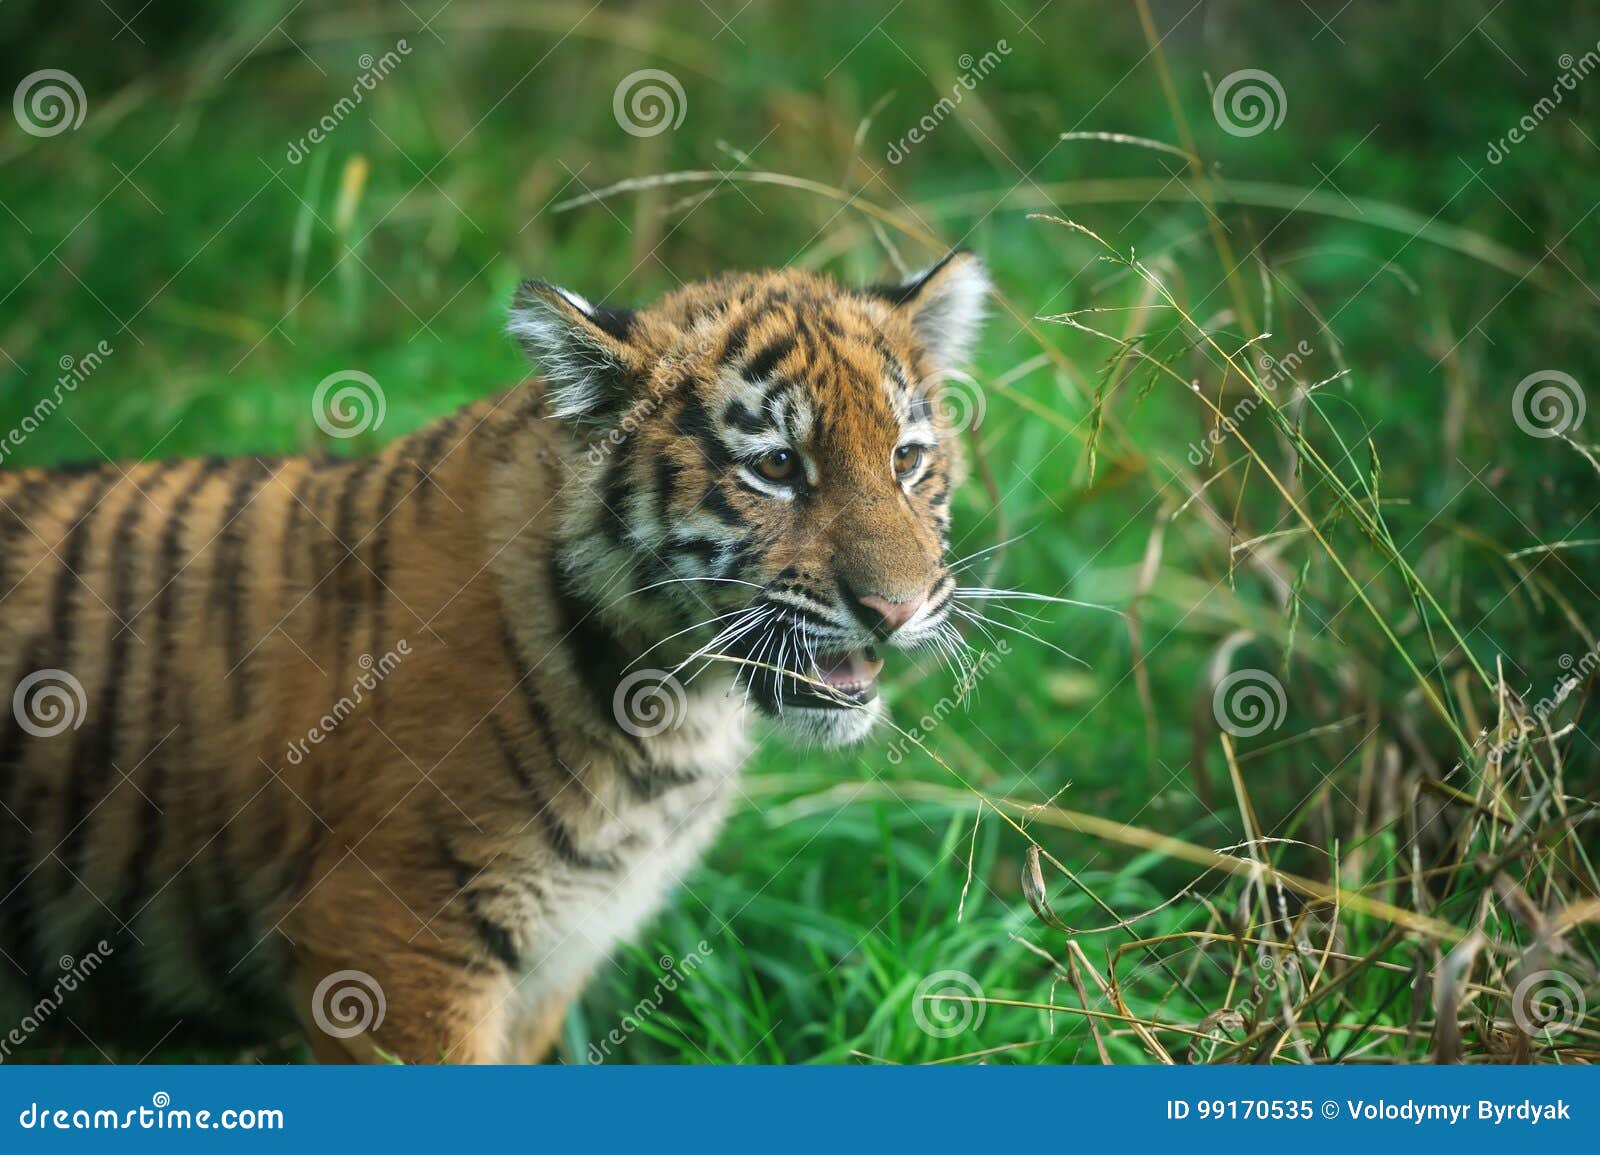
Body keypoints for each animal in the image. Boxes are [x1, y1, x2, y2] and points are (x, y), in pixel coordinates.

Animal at [0, 251, 990, 1063]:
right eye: (777, 466)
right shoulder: (391, 938)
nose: (896, 608)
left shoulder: (553, 954)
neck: (676, 700)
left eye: (906, 459)